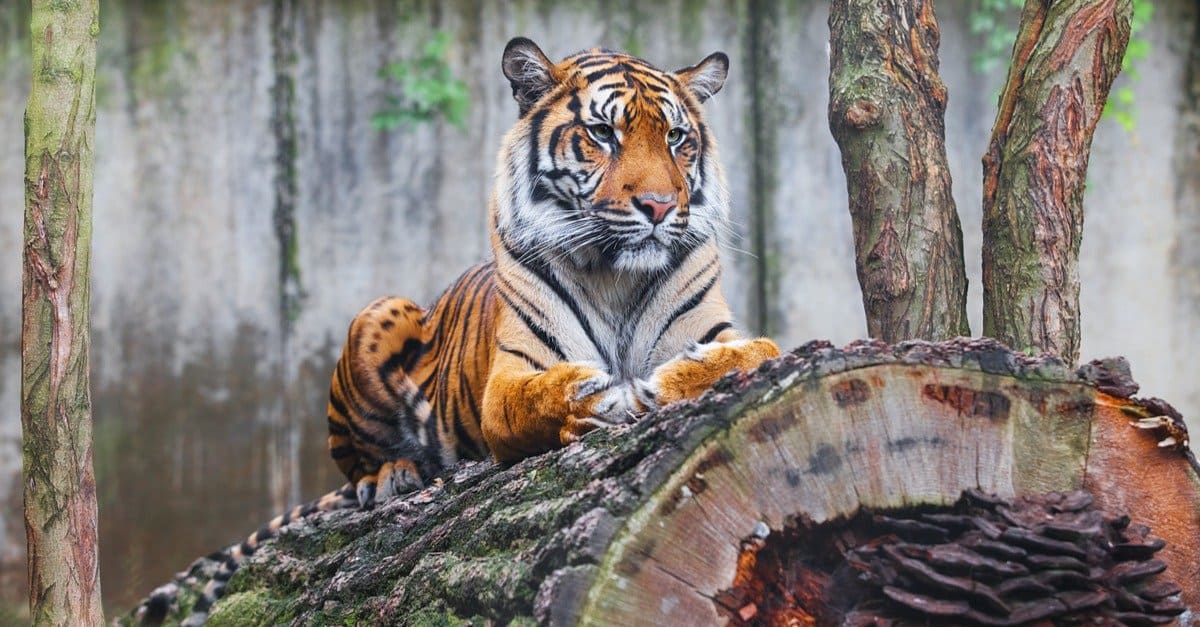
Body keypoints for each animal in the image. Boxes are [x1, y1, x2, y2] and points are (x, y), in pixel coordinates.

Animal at [151, 37, 779, 624]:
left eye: (675, 137)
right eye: (602, 133)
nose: (659, 205)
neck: (616, 277)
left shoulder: (721, 331)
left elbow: (760, 350)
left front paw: (672, 381)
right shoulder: (510, 380)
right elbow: (538, 397)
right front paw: (594, 399)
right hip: (378, 313)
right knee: (354, 464)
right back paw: (394, 476)